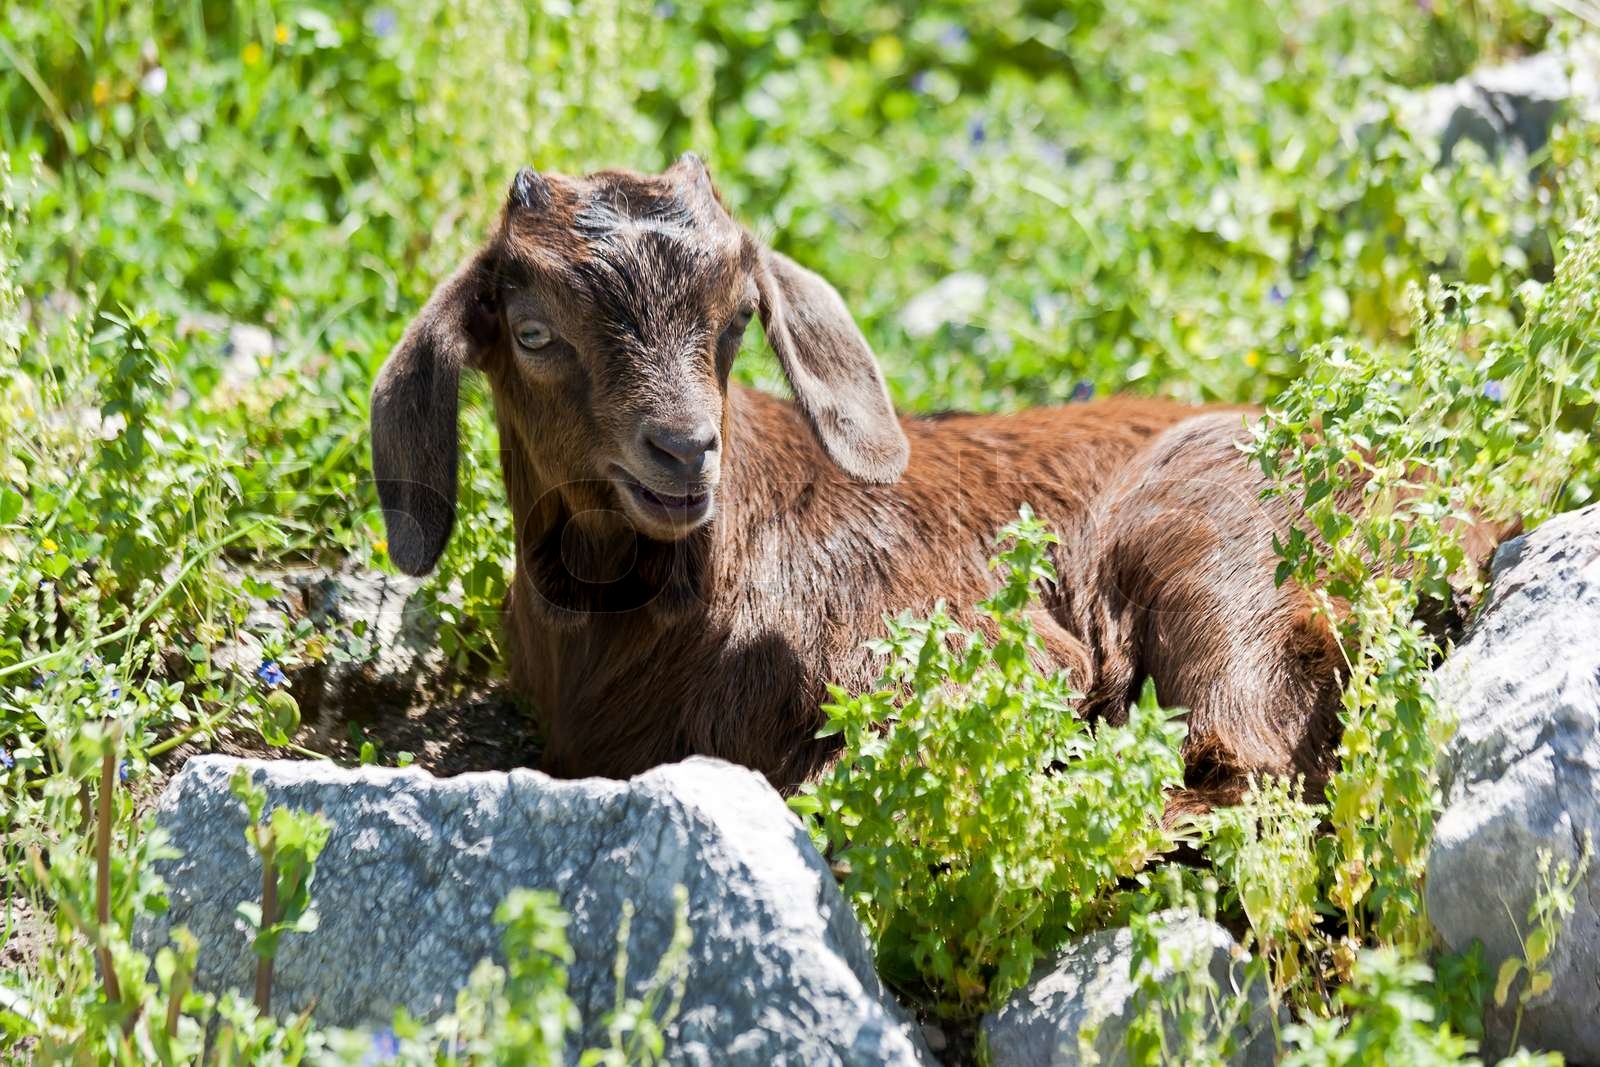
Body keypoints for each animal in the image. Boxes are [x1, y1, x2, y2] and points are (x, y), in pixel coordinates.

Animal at [369, 156, 1502, 797]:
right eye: (533, 332)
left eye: (737, 318)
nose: (685, 450)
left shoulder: (961, 641)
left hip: (1205, 534)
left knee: (1247, 757)